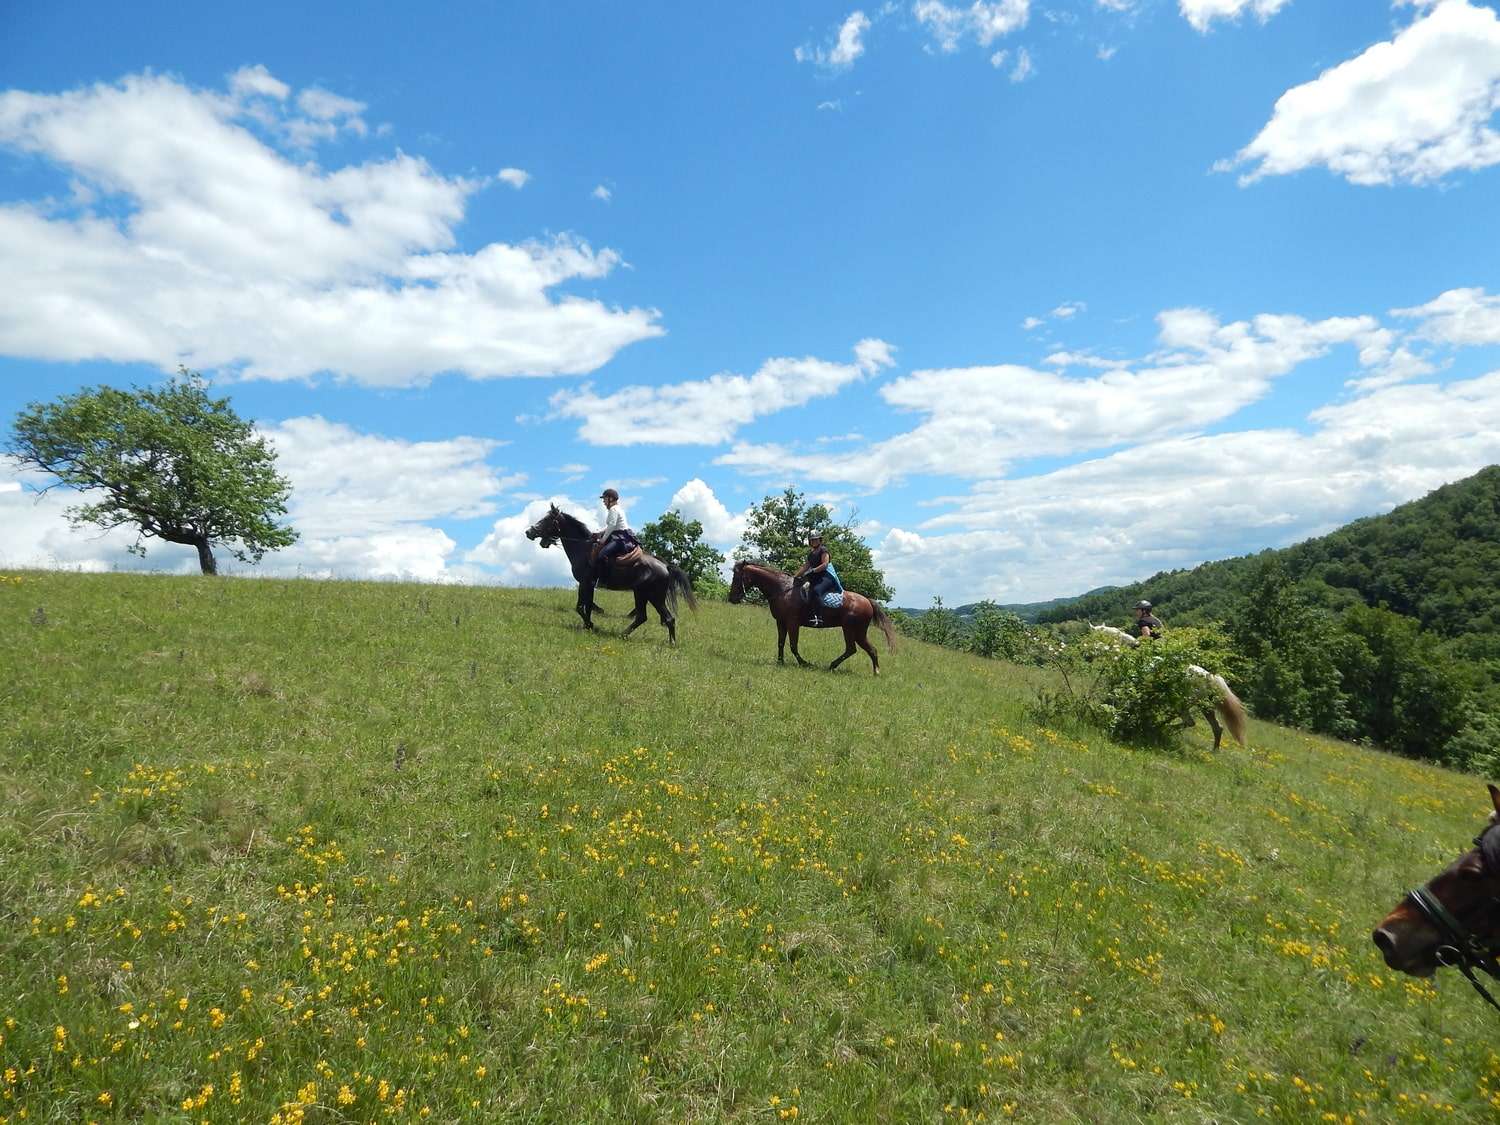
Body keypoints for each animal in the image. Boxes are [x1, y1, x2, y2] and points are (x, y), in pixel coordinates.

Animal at [524, 505, 697, 643]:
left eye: (547, 519)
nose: (528, 532)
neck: (583, 549)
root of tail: (665, 566)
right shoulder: (588, 585)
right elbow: (587, 606)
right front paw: (587, 626)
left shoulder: (586, 583)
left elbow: (580, 607)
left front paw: (590, 625)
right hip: (641, 594)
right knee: (642, 617)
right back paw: (623, 635)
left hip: (654, 596)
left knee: (668, 618)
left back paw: (671, 643)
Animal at [728, 560, 895, 675]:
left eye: (737, 576)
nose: (732, 598)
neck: (783, 590)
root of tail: (867, 601)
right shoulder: (781, 622)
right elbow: (781, 643)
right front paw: (780, 662)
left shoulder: (792, 623)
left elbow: (793, 645)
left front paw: (804, 663)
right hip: (857, 632)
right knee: (867, 649)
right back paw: (872, 672)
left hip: (851, 630)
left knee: (853, 649)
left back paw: (835, 666)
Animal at [1088, 624, 1248, 751]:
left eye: (1093, 637)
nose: (1087, 656)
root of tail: (1211, 677)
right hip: (1205, 705)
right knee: (1215, 727)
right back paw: (1213, 750)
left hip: (1184, 703)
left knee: (1190, 722)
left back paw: (1159, 729)